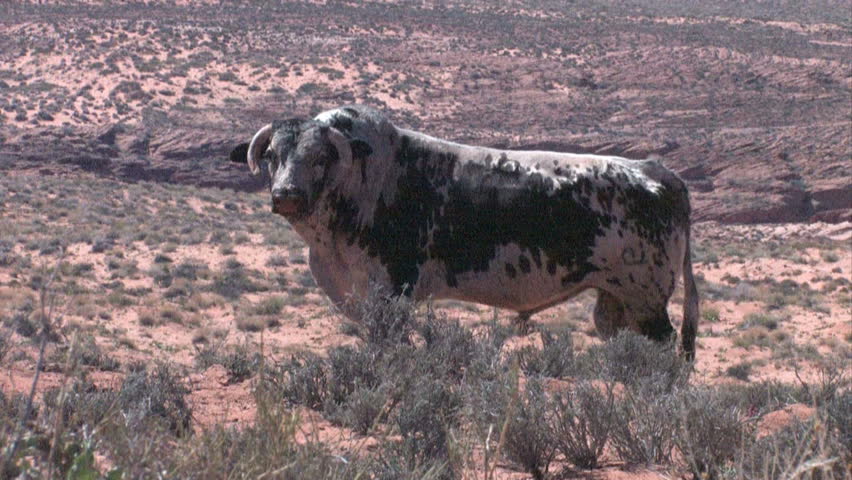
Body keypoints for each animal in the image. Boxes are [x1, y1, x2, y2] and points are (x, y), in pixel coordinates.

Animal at [230, 104, 699, 358]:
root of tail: (657, 172)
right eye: (271, 155)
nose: (286, 194)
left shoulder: (392, 291)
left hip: (647, 299)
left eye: (321, 157)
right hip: (616, 301)